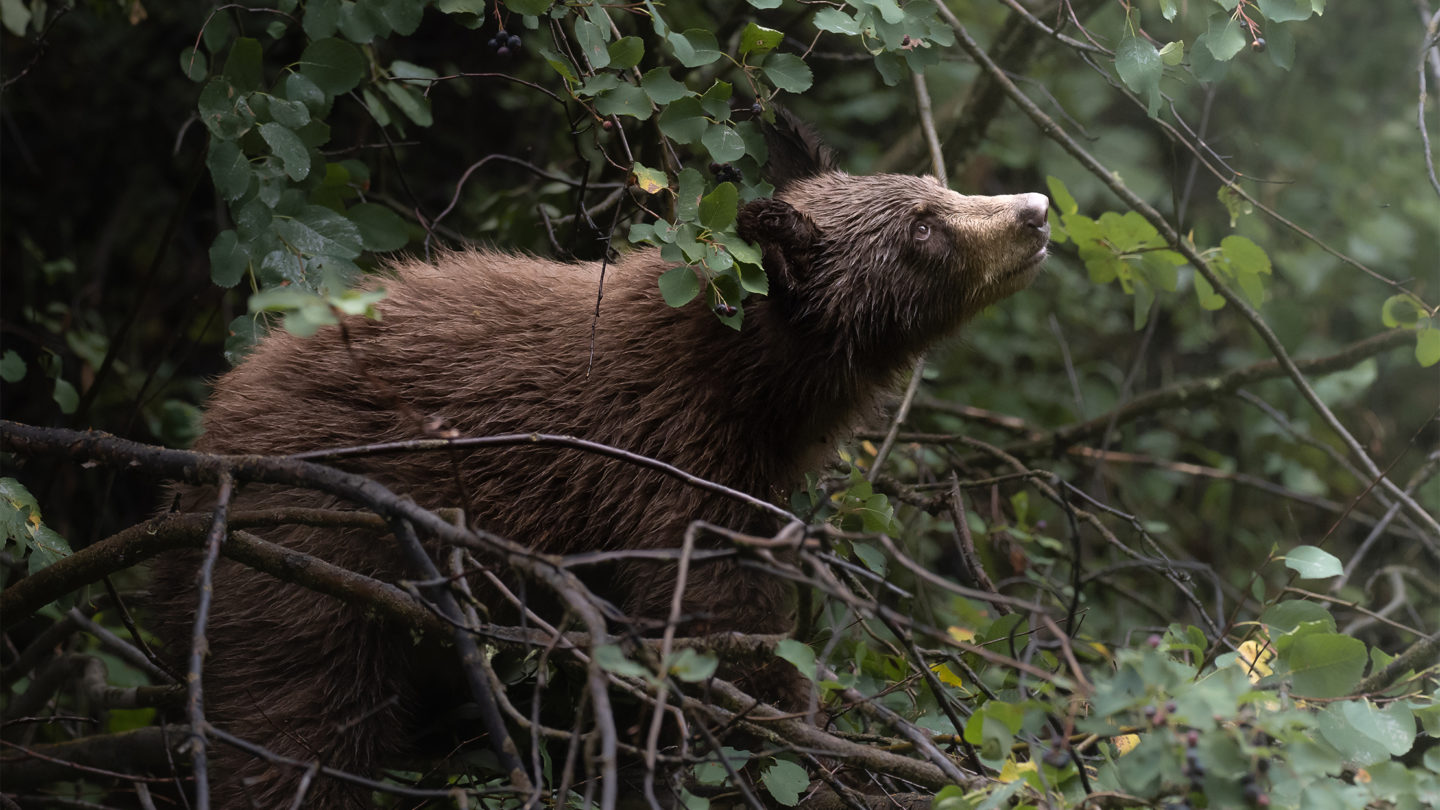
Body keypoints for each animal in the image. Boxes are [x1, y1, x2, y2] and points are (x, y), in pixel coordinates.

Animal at [149, 112, 1050, 807]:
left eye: (936, 184)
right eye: (922, 227)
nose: (1035, 210)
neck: (749, 389)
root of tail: (204, 441)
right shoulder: (663, 468)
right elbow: (720, 636)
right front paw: (816, 749)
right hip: (302, 558)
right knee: (294, 720)